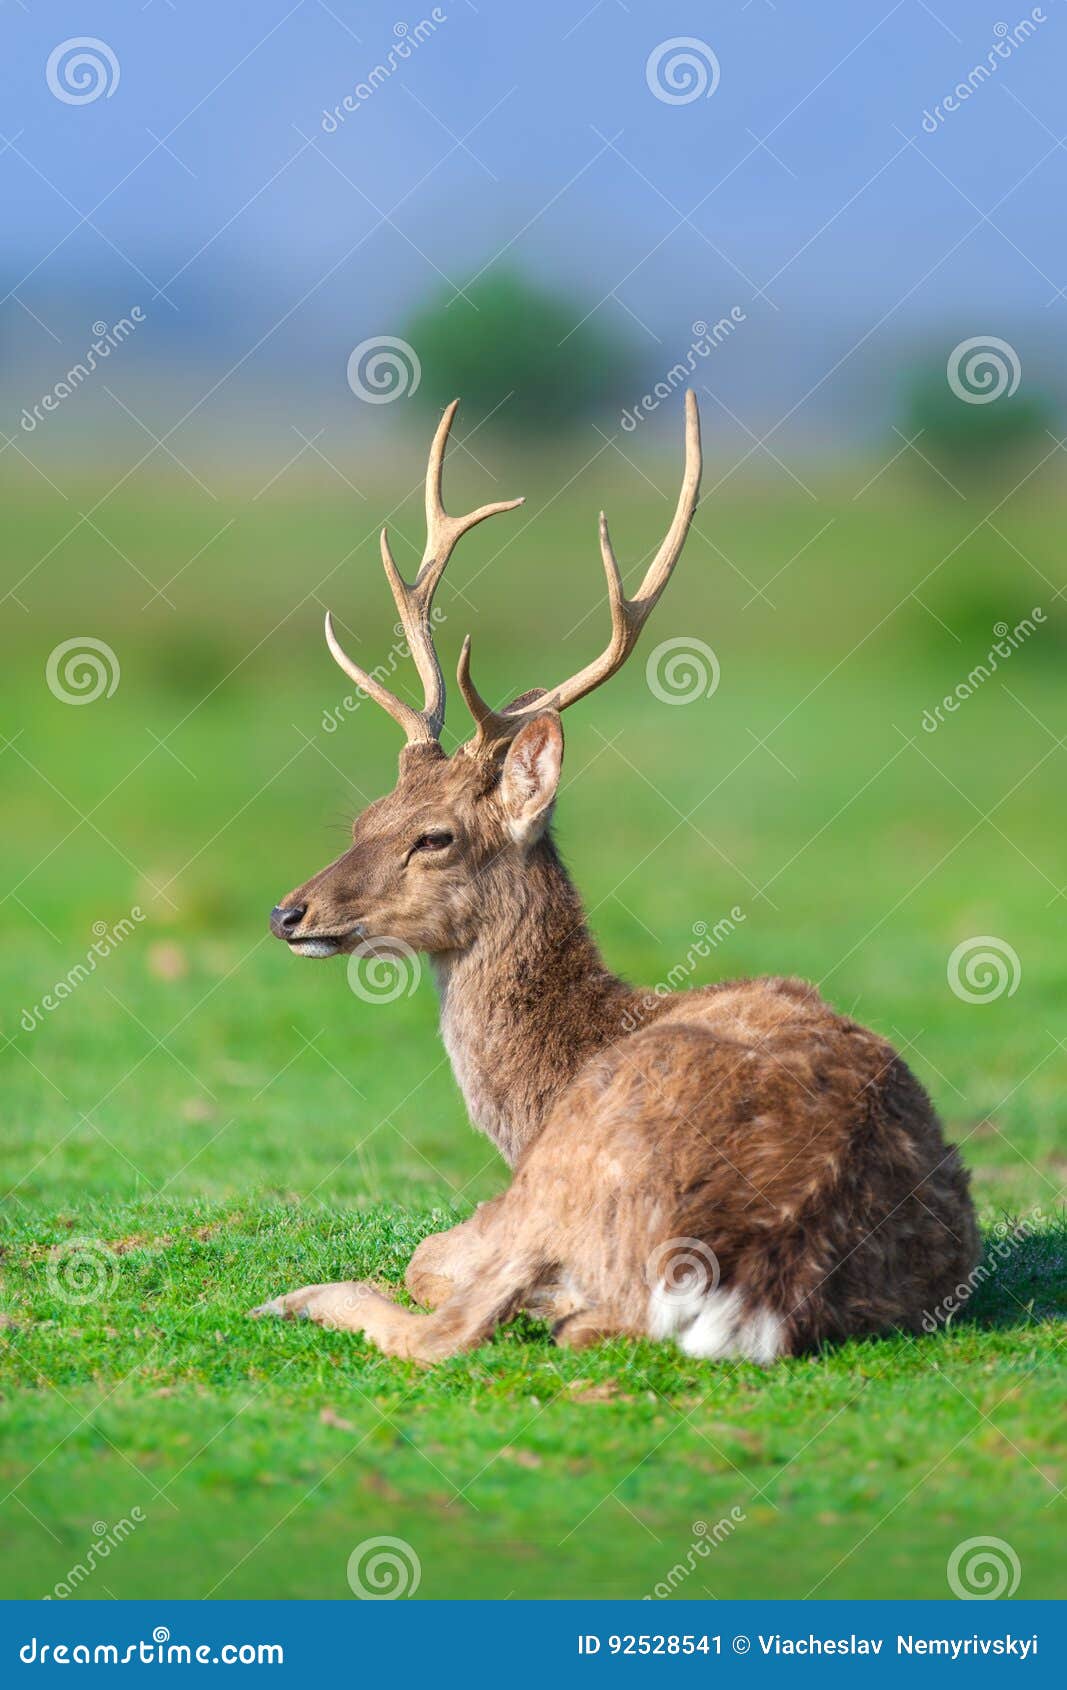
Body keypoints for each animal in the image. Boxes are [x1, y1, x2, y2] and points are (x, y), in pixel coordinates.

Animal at [251, 392, 980, 1365]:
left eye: (434, 837)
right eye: (366, 818)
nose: (289, 912)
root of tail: (745, 1277)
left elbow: (425, 1264)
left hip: (560, 1183)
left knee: (450, 1320)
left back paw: (298, 1299)